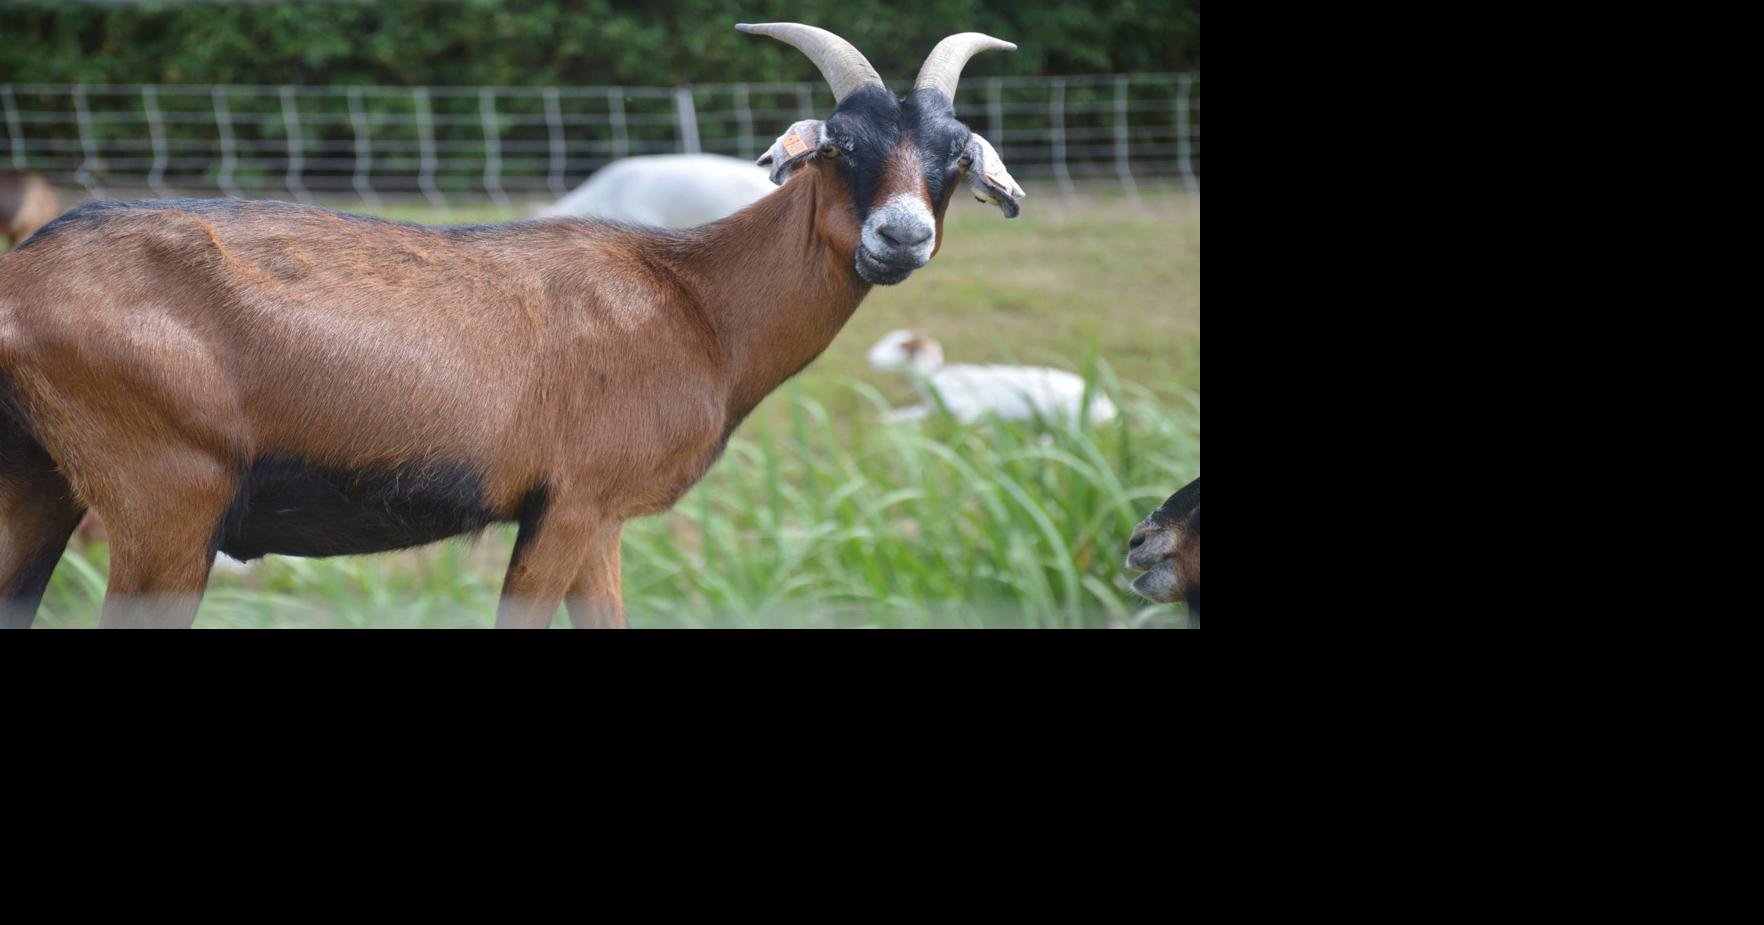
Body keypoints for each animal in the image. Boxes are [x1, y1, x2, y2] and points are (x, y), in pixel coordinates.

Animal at [867, 330, 1116, 426]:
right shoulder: (930, 407)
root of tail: (1107, 404)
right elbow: (903, 414)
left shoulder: (971, 410)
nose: (870, 357)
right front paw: (883, 418)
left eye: (902, 346)